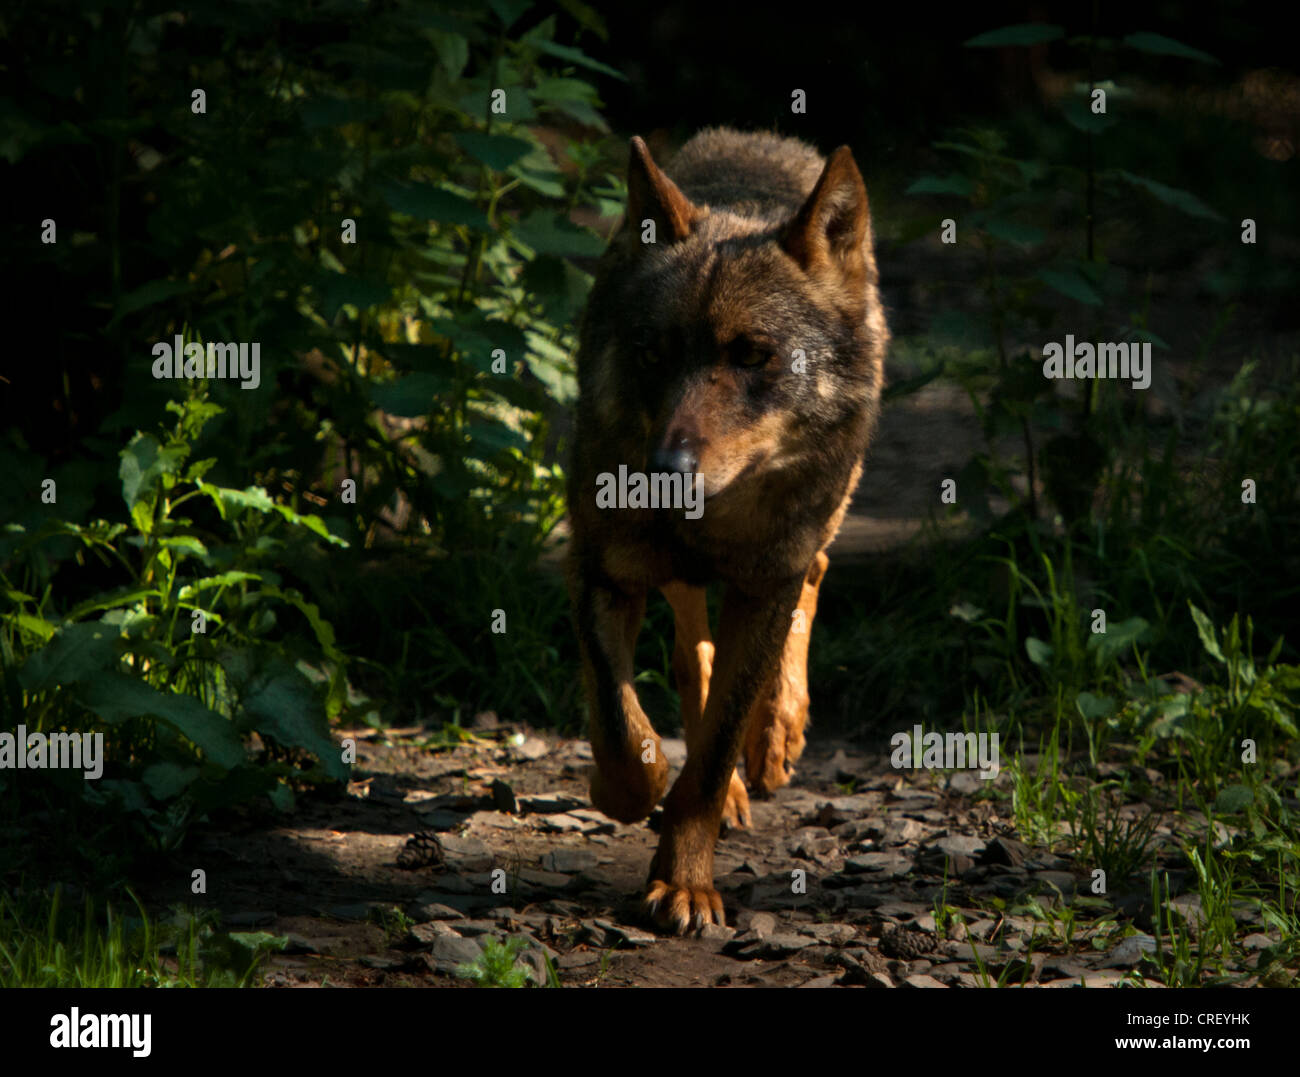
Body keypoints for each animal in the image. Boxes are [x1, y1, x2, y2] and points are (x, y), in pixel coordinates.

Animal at [566, 127, 888, 933]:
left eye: (751, 354)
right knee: (692, 653)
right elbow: (626, 729)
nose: (661, 471)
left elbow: (710, 756)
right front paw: (622, 792)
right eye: (652, 352)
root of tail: (759, 140)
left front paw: (684, 884)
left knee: (812, 580)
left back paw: (777, 737)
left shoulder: (765, 583)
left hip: (819, 523)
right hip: (671, 577)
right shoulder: (599, 570)